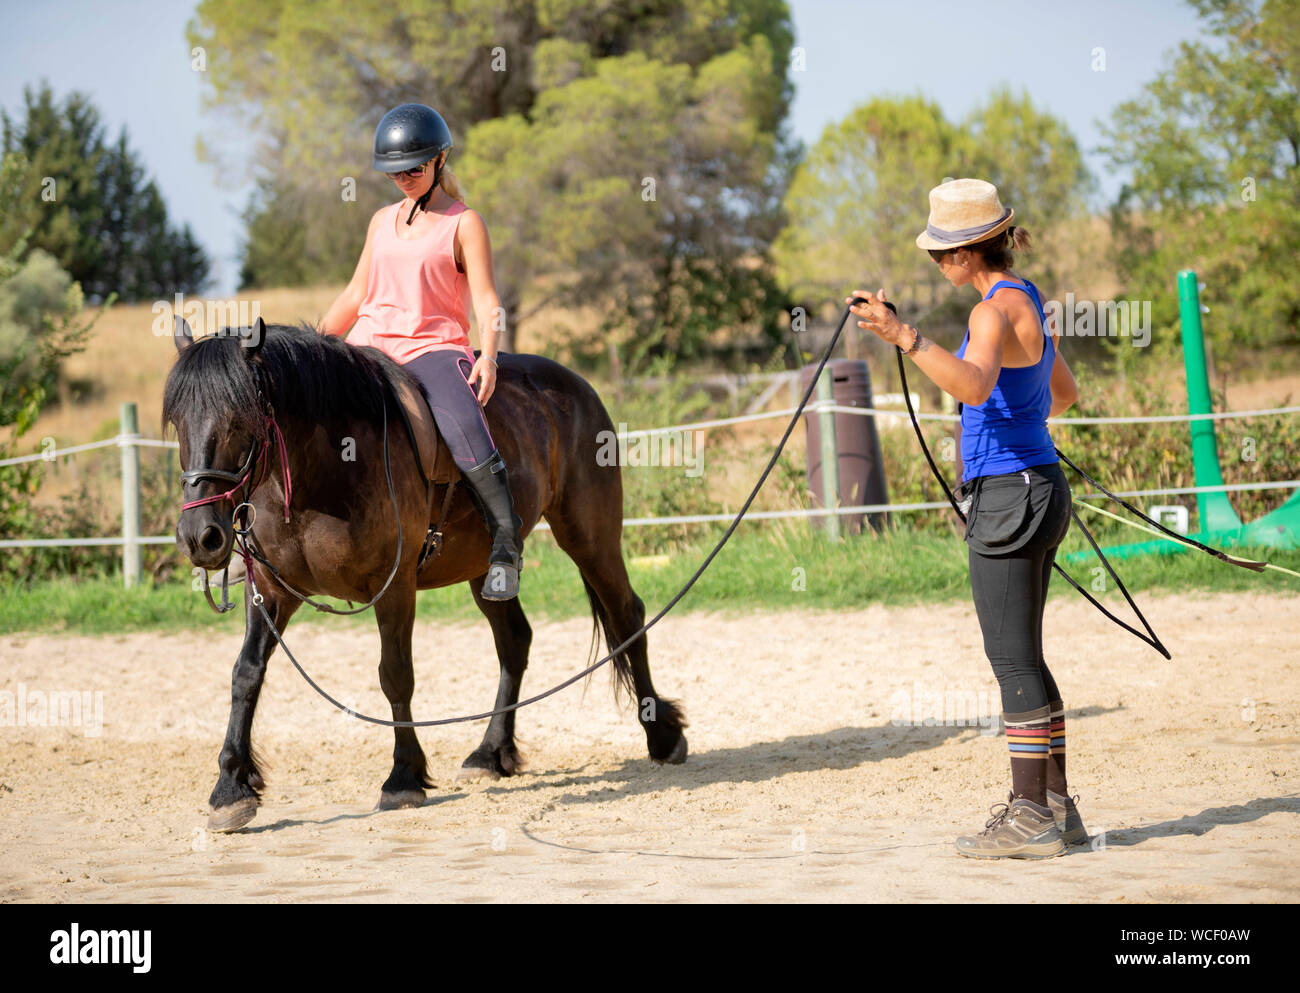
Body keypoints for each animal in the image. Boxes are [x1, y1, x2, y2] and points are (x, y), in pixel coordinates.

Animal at [164, 318, 687, 831]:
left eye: (241, 418)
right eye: (178, 422)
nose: (200, 537)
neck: (326, 473)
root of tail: (575, 385)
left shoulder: (394, 586)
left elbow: (395, 675)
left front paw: (403, 778)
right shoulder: (272, 590)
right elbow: (246, 674)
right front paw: (230, 787)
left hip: (589, 537)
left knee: (626, 614)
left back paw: (661, 734)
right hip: (485, 569)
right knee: (515, 640)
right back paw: (491, 751)